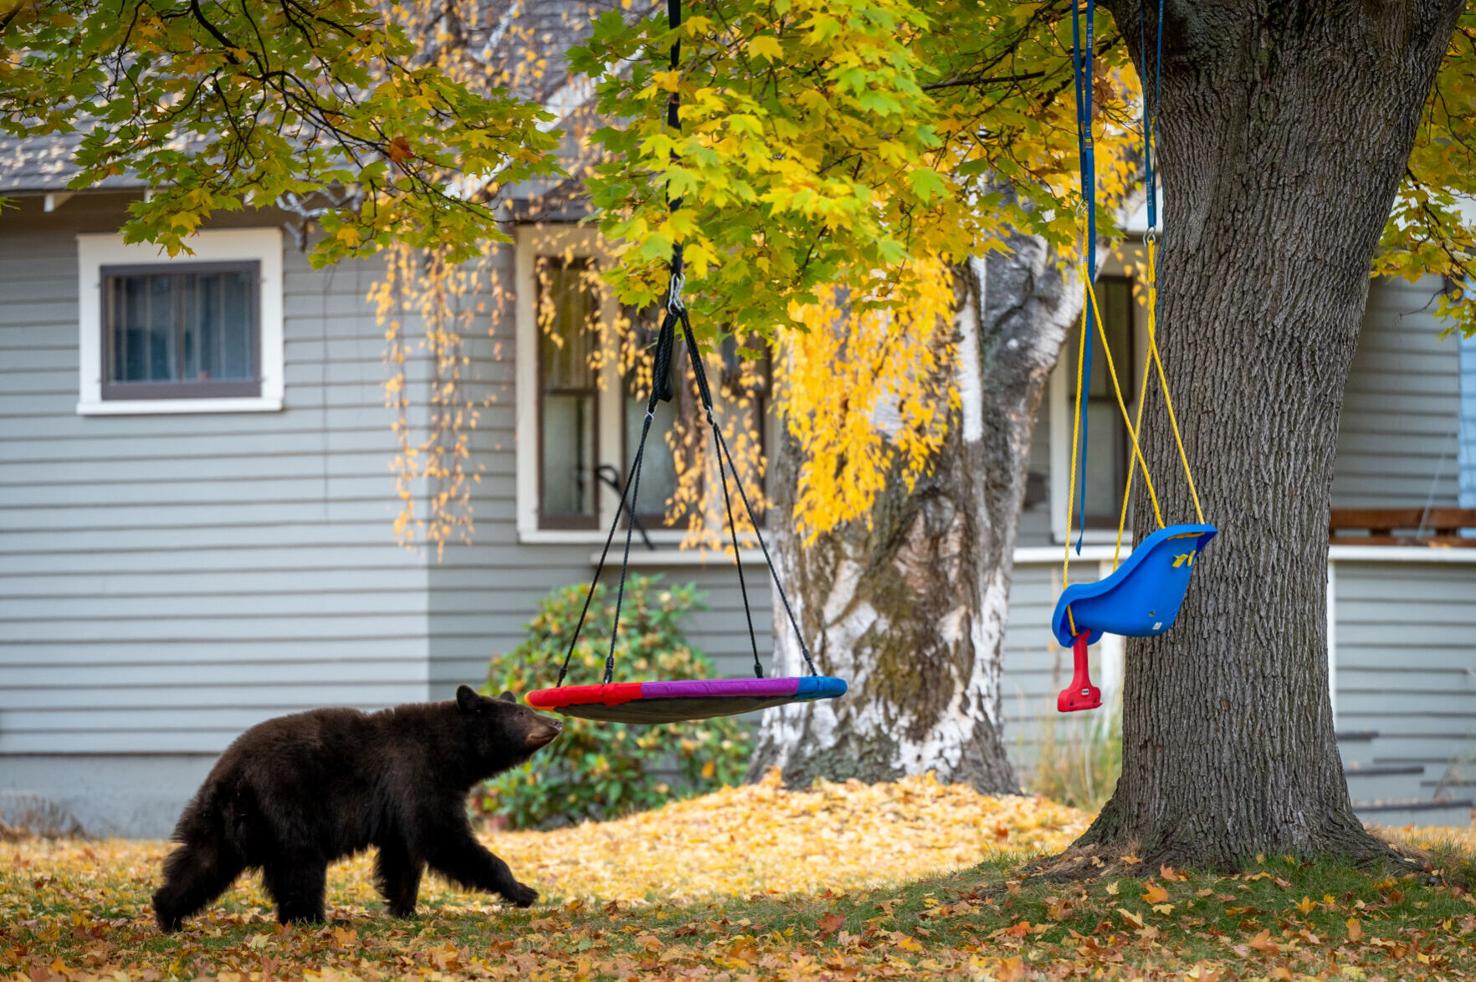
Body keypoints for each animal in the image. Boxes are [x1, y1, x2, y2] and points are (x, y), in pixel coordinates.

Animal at [151, 686, 561, 932]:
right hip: (288, 803)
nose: (555, 720)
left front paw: (404, 907)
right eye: (522, 714)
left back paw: (168, 912)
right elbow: (444, 838)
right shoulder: (418, 775)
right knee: (300, 867)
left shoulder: (400, 802)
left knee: (203, 861)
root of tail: (230, 771)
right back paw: (309, 918)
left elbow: (403, 855)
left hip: (228, 819)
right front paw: (523, 891)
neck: (453, 754)